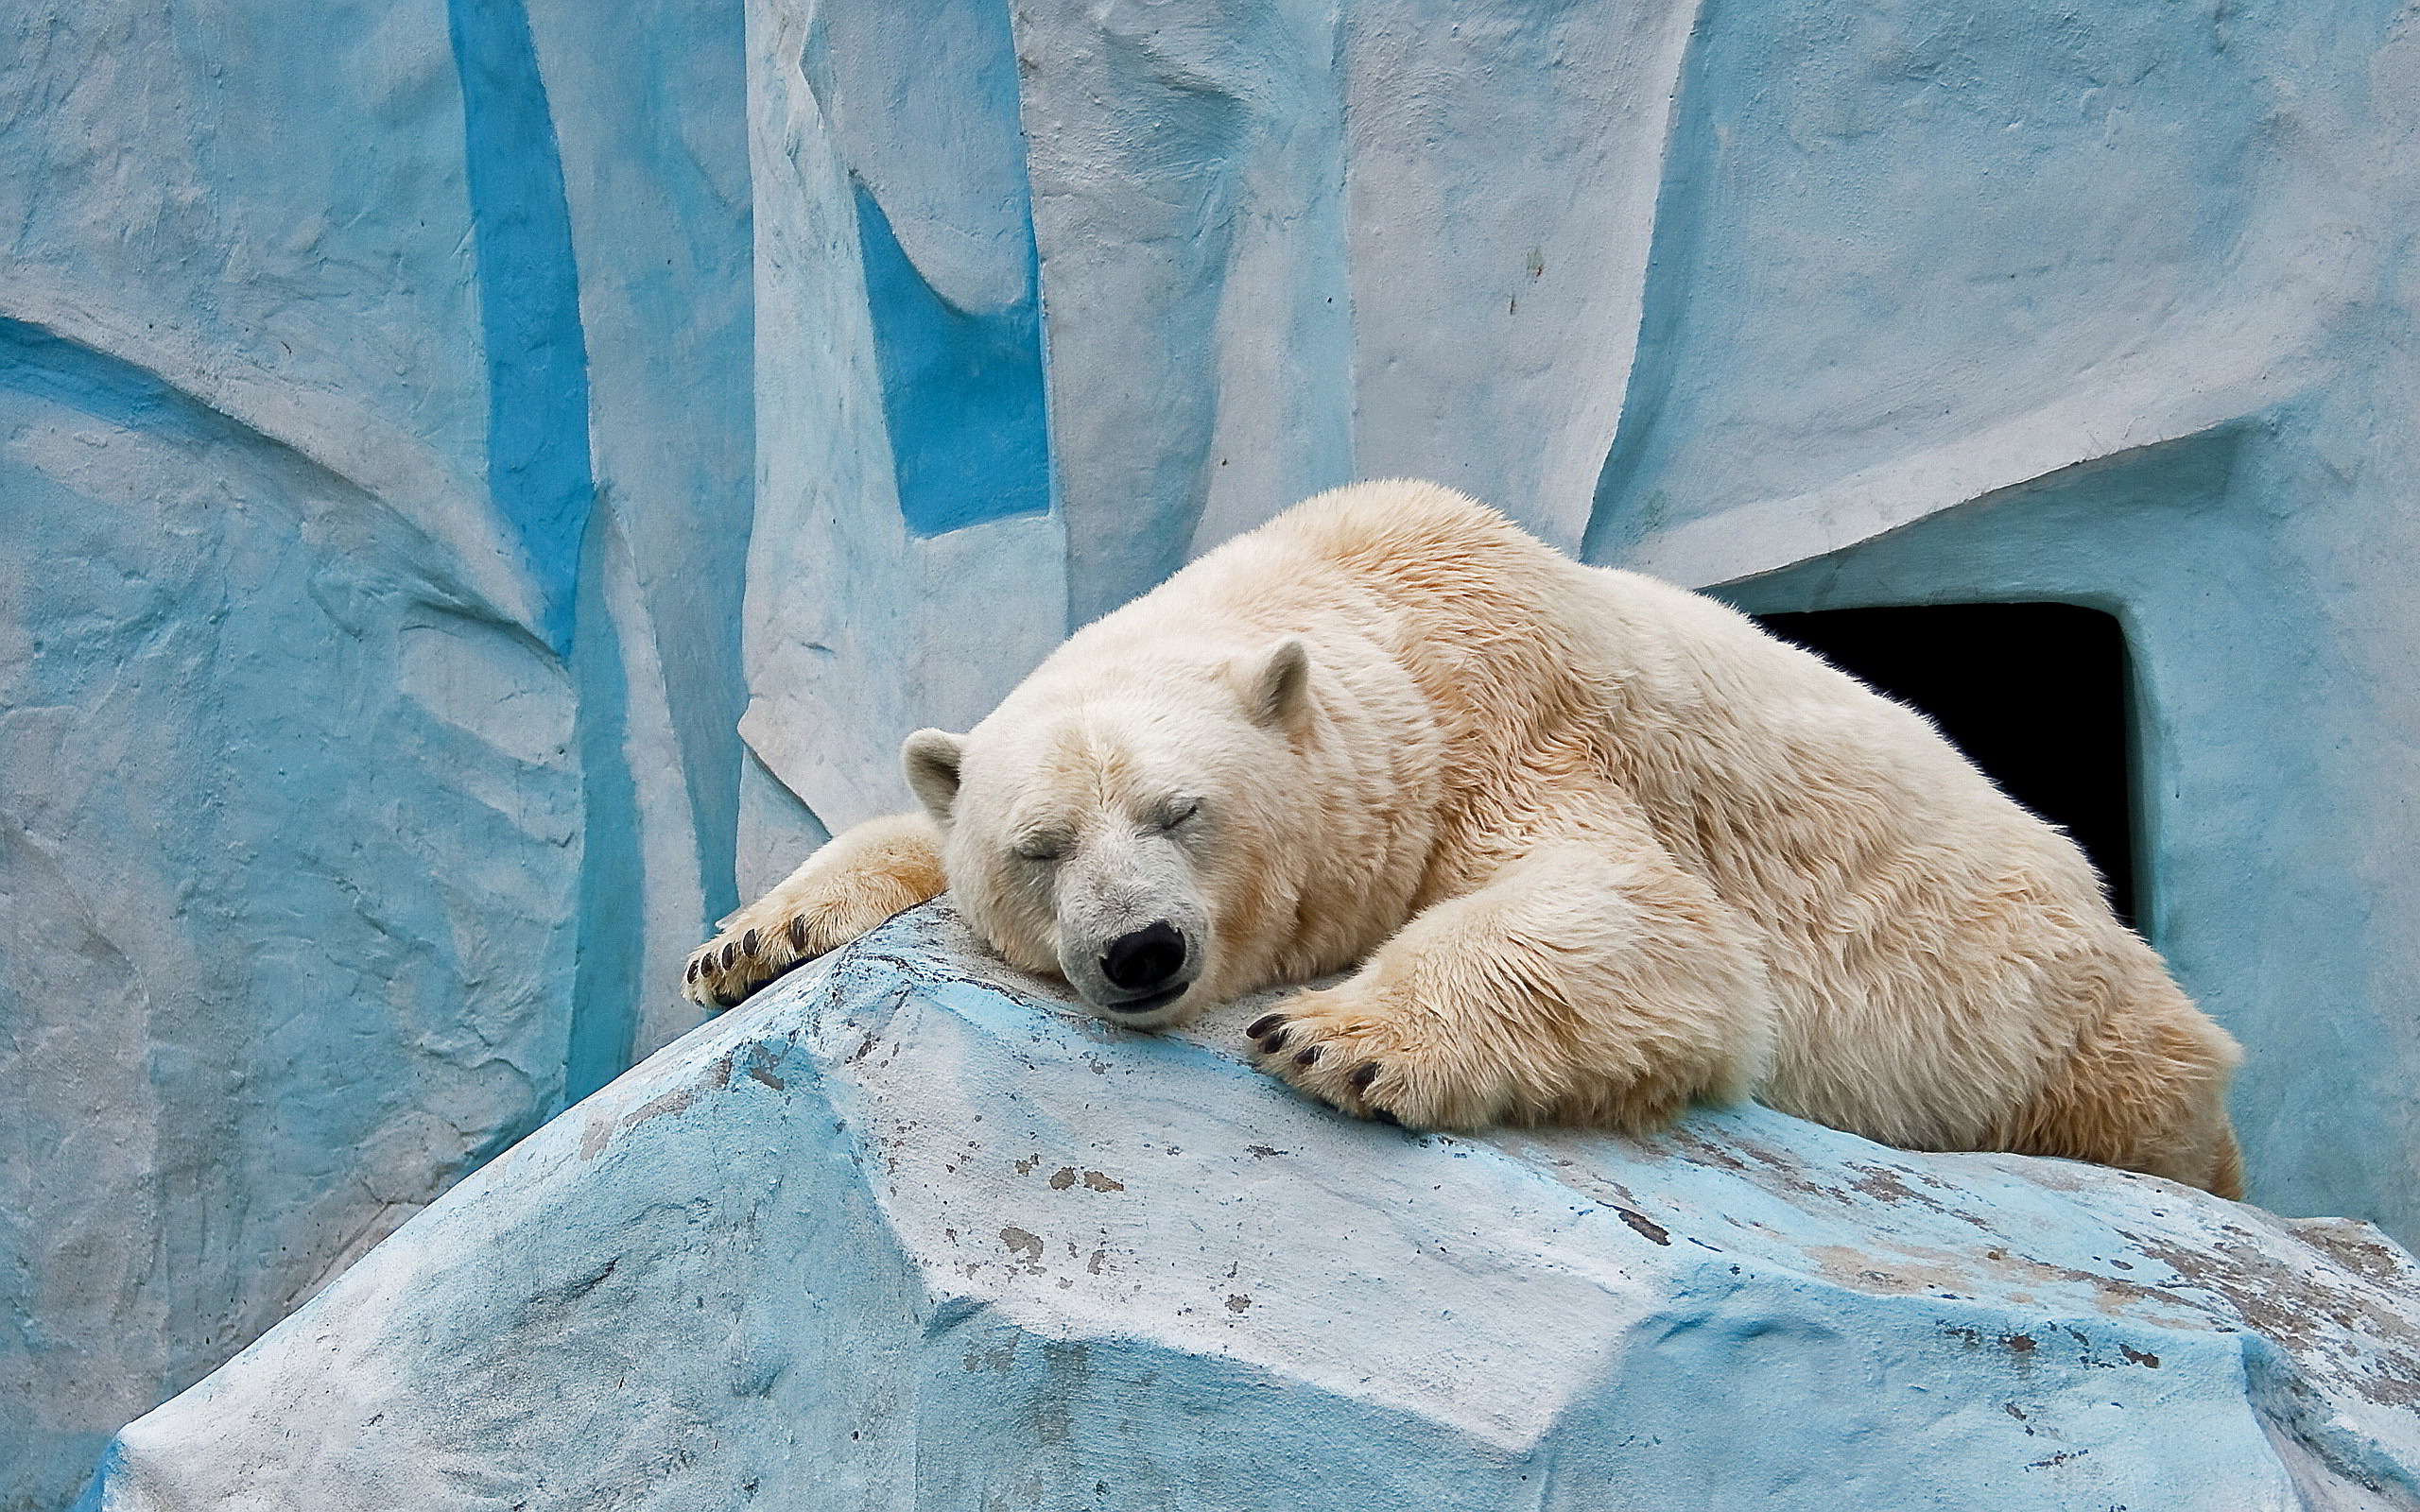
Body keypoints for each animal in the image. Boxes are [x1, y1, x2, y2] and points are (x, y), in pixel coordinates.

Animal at [687, 480, 2245, 1196]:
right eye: (1041, 845)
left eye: (1183, 810)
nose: (1139, 953)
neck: (1363, 591)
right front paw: (749, 939)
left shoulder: (1512, 723)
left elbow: (1648, 918)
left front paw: (1339, 1036)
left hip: (2061, 1025)